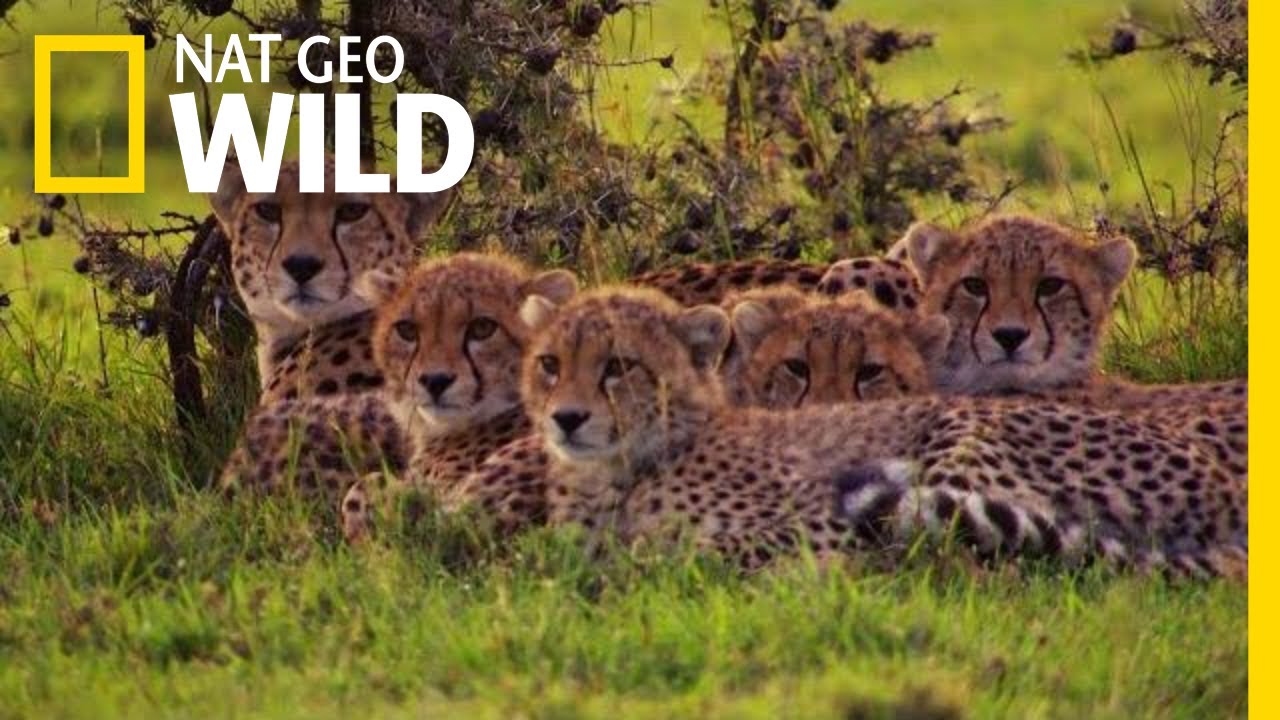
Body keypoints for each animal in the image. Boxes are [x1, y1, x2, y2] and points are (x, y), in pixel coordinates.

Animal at [457, 288, 1246, 577]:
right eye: (551, 364)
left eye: (619, 366)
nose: (565, 417)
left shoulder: (818, 523)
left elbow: (689, 552)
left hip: (959, 451)